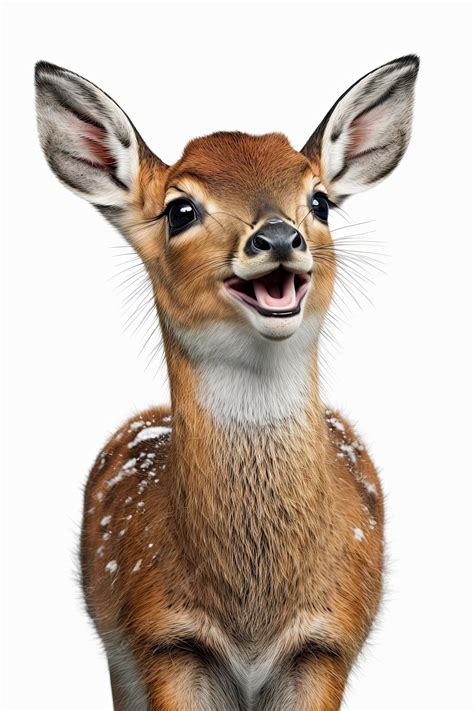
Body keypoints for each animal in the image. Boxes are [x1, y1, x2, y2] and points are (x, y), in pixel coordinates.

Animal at [35, 55, 419, 710]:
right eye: (180, 210)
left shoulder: (327, 640)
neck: (253, 613)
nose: (280, 236)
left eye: (320, 201)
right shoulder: (164, 638)